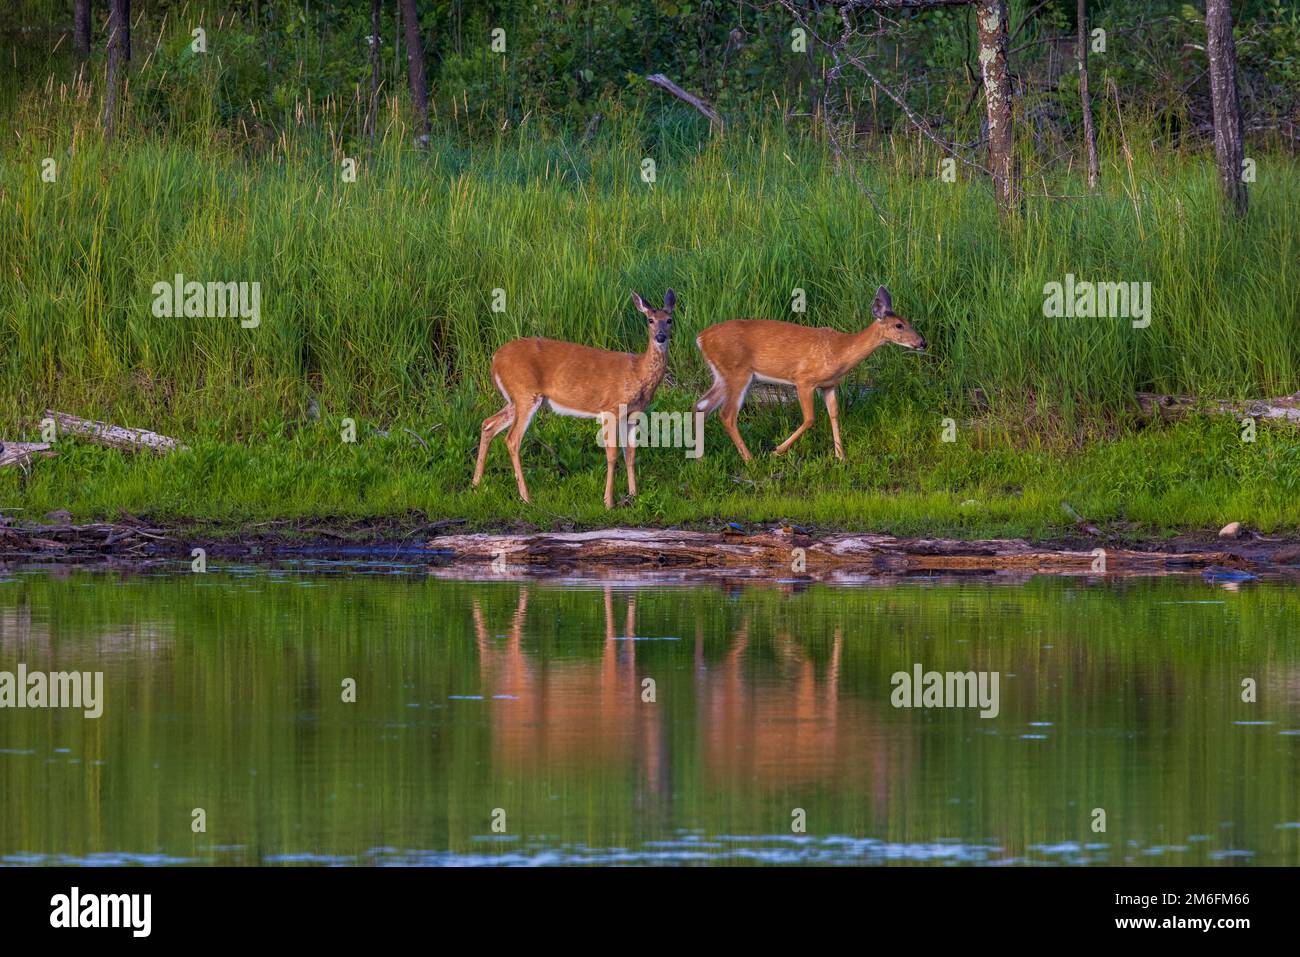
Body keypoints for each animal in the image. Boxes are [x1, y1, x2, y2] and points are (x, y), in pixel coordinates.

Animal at [472, 289, 675, 509]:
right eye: (650, 320)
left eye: (669, 320)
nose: (661, 336)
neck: (638, 371)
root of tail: (495, 360)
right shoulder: (610, 408)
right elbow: (612, 456)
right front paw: (608, 502)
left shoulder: (632, 413)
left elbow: (630, 454)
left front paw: (633, 495)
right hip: (525, 393)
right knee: (512, 439)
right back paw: (526, 497)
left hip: (515, 400)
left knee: (488, 424)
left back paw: (476, 484)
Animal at [694, 285, 926, 461]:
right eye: (899, 325)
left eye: (910, 322)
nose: (923, 343)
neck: (839, 351)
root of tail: (701, 338)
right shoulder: (804, 380)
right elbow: (810, 418)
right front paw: (776, 451)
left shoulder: (829, 385)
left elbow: (834, 414)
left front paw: (841, 456)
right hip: (737, 372)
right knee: (726, 414)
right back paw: (750, 459)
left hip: (723, 375)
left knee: (701, 405)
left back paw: (699, 458)